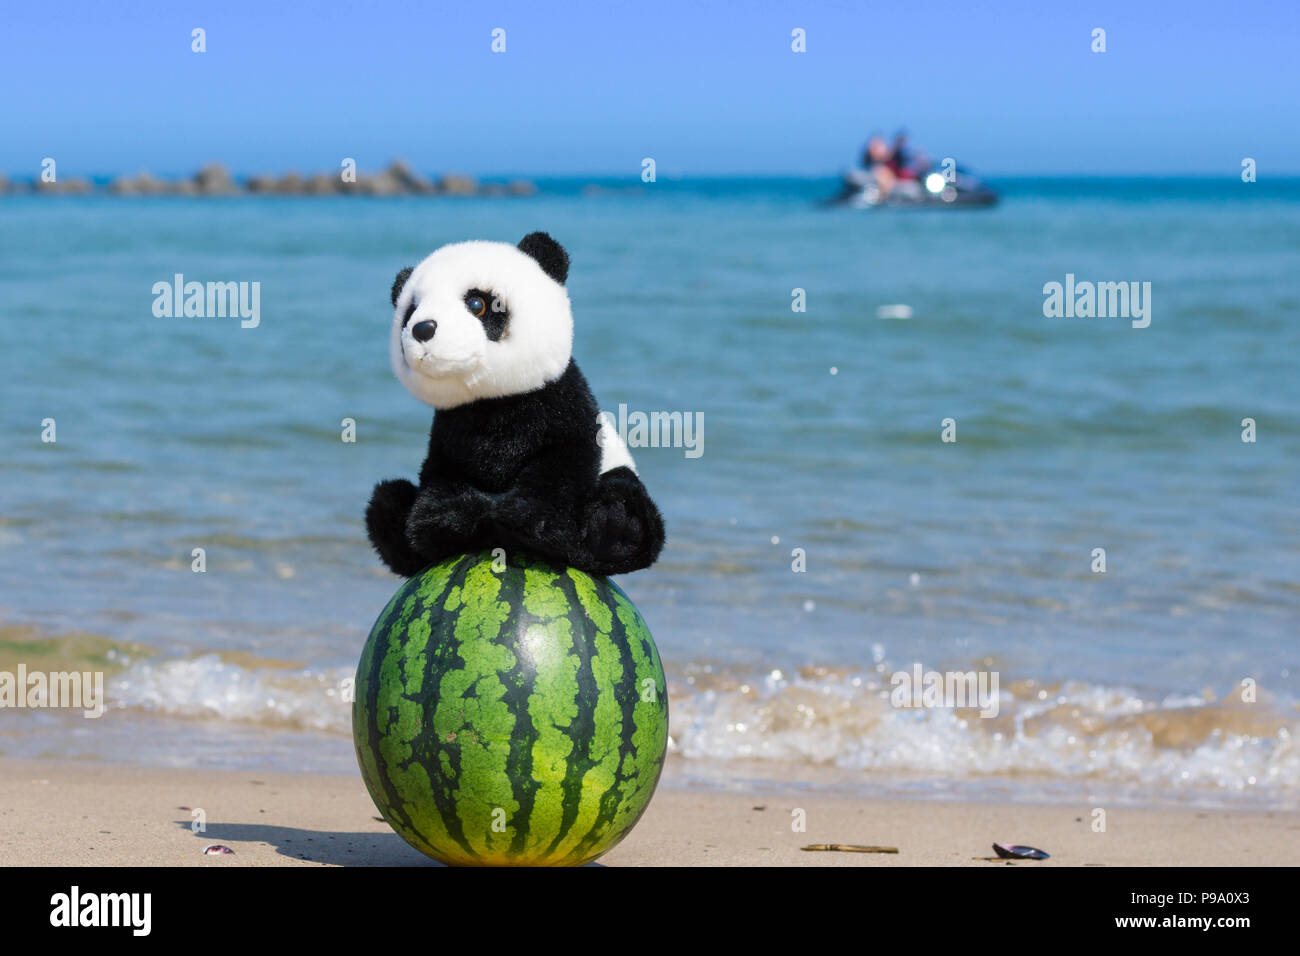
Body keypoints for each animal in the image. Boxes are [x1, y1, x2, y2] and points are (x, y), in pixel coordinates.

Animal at [365, 231, 665, 578]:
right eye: (410, 311)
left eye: (477, 303)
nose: (422, 328)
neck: (494, 400)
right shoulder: (449, 431)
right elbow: (441, 477)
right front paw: (448, 518)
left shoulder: (563, 403)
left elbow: (562, 465)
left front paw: (528, 520)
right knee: (386, 501)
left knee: (628, 504)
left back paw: (612, 527)